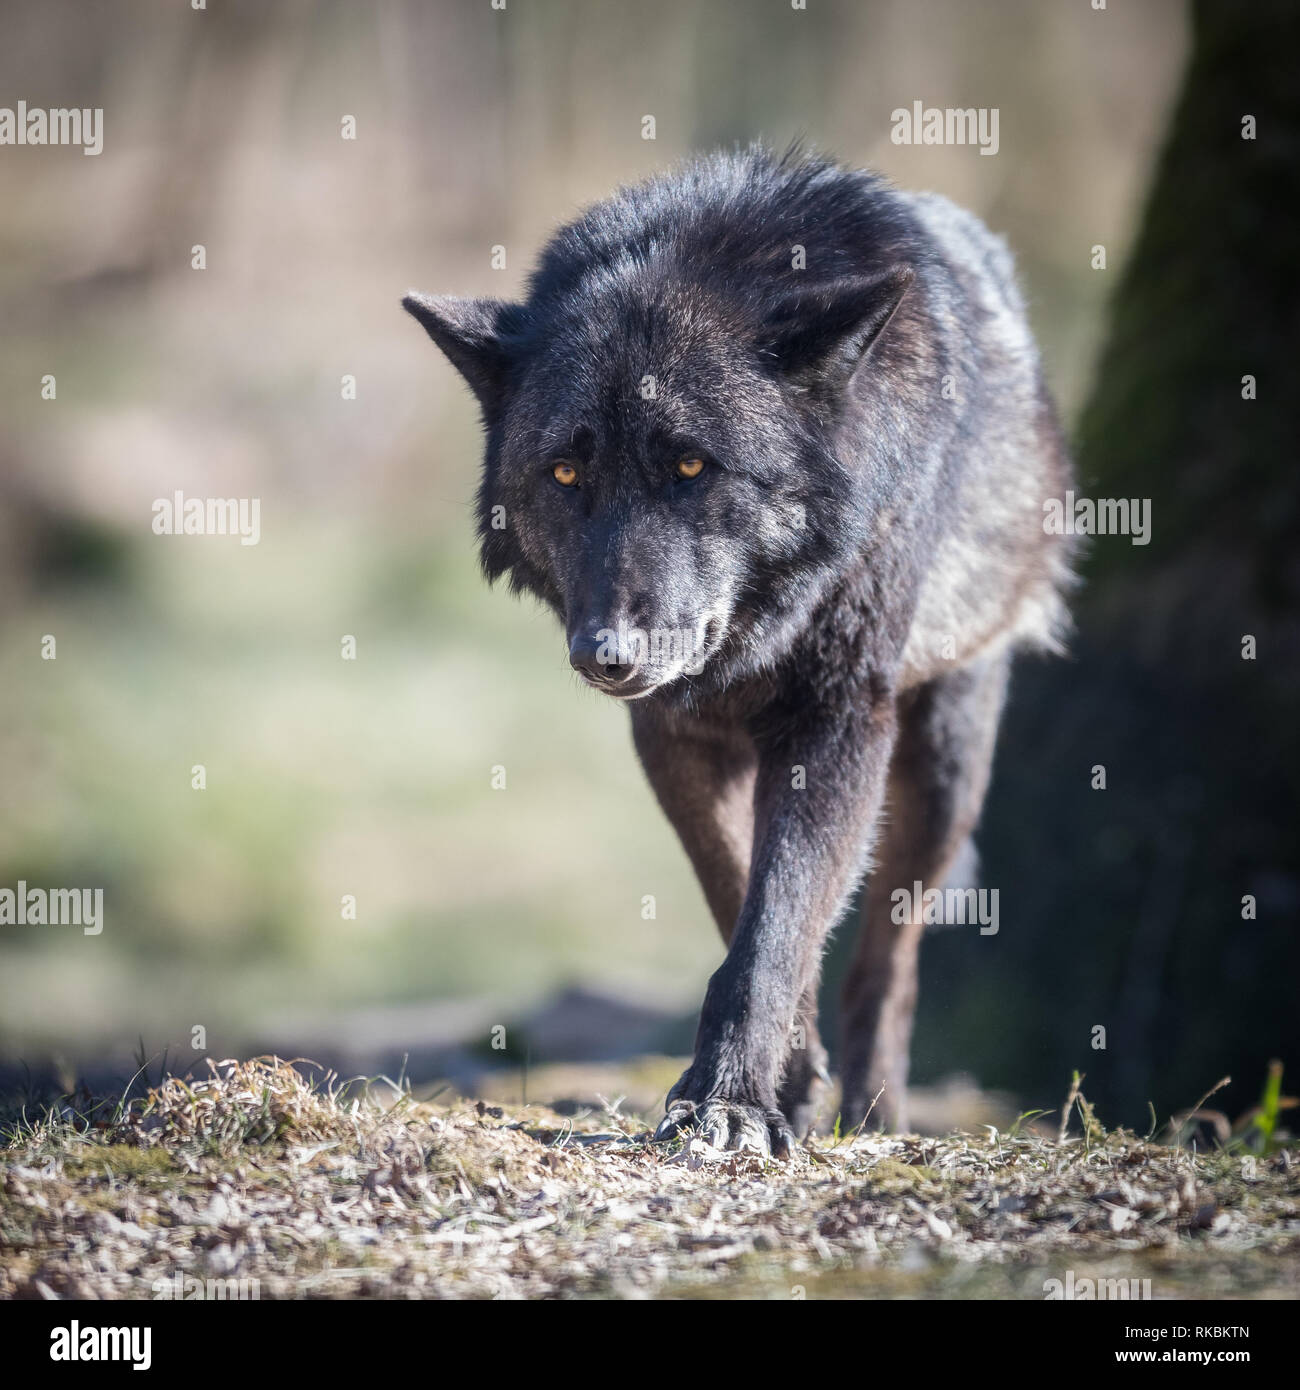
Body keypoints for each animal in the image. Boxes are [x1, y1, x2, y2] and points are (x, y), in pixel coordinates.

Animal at [404, 146, 1073, 1153]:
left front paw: (730, 1100)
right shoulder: (672, 737)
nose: (606, 655)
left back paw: (877, 1116)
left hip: (945, 762)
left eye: (690, 465)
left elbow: (779, 923)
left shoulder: (839, 723)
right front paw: (783, 1077)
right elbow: (740, 903)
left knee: (891, 962)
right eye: (565, 471)